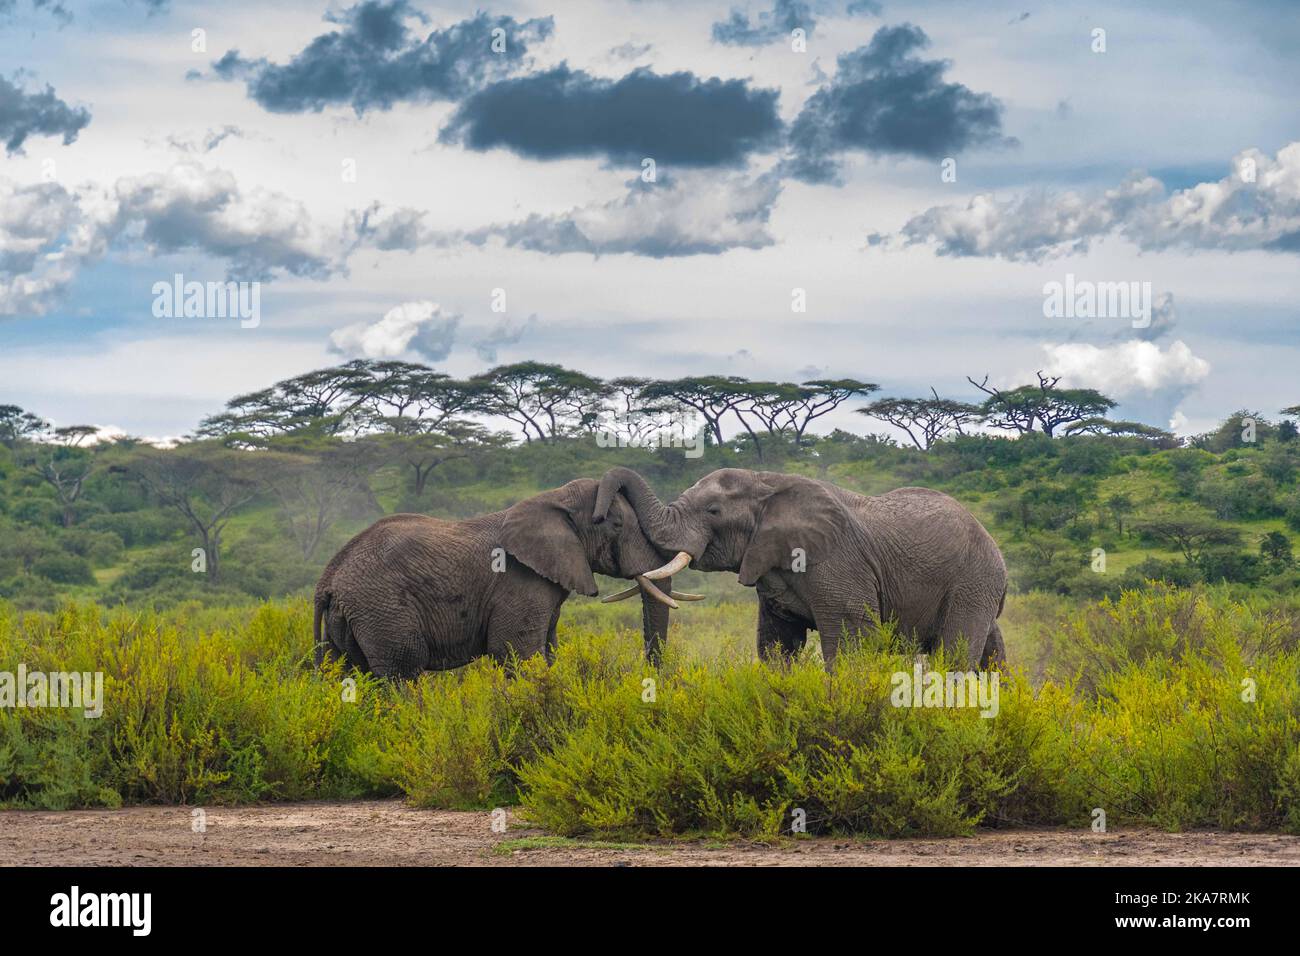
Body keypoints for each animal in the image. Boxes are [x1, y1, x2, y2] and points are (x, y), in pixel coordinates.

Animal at [313, 478, 702, 678]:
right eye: (616, 524)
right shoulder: (519, 582)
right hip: (382, 610)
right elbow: (517, 652)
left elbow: (547, 649)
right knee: (401, 670)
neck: (552, 499)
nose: (650, 678)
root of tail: (327, 579)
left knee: (350, 674)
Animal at [595, 467, 1007, 670]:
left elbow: (851, 644)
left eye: (713, 511)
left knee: (955, 654)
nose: (599, 513)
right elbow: (777, 644)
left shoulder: (837, 564)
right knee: (992, 651)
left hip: (972, 582)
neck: (767, 483)